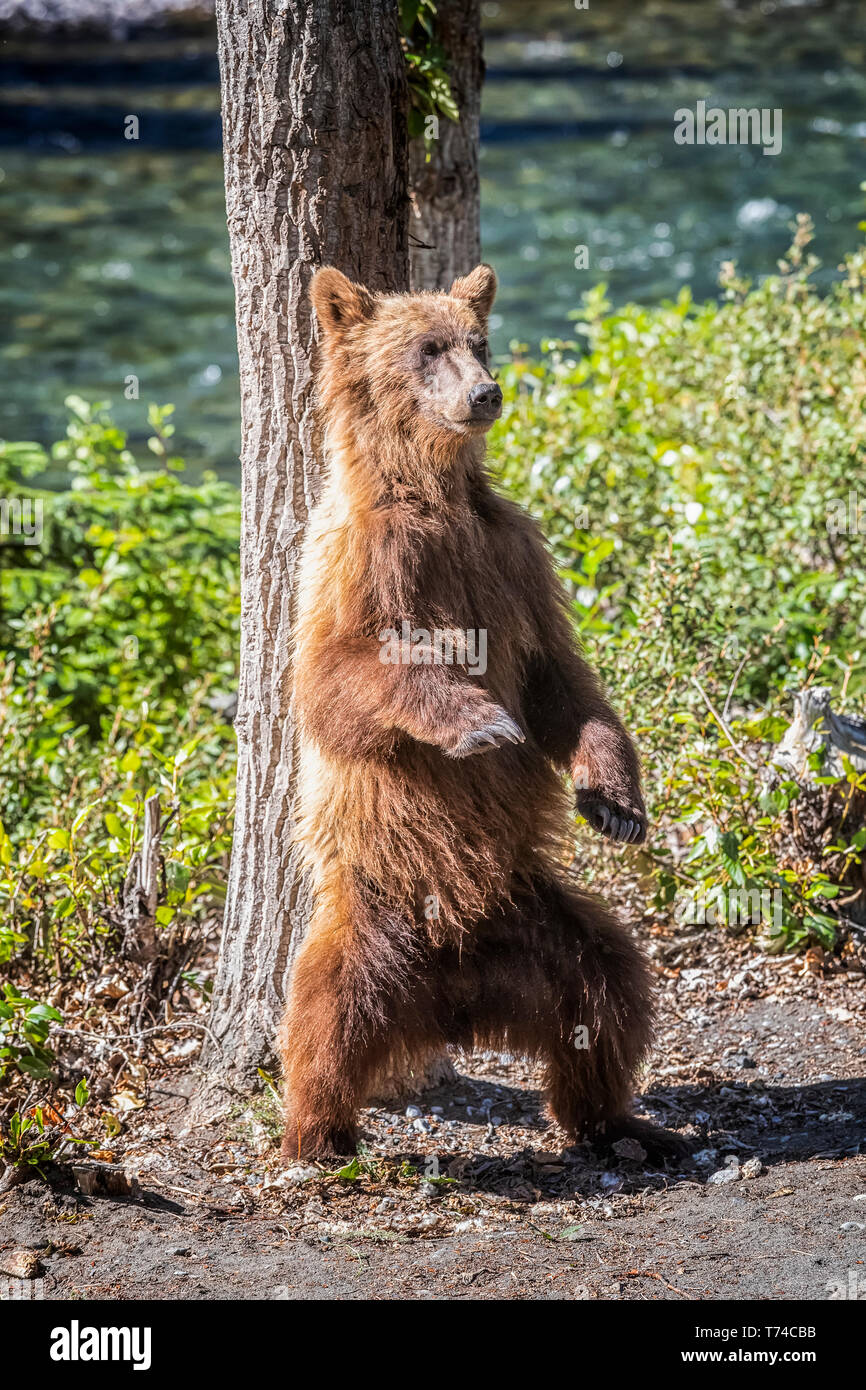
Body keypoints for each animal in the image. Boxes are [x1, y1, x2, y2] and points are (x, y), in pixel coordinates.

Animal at [280, 262, 655, 1162]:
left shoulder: (511, 557)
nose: (485, 391)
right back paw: (317, 1135)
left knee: (609, 991)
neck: (432, 495)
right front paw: (477, 721)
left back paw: (620, 1123)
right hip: (374, 909)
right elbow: (334, 680)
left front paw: (616, 802)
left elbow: (558, 680)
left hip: (539, 922)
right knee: (323, 1012)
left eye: (478, 340)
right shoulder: (359, 562)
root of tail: (455, 991)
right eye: (427, 347)